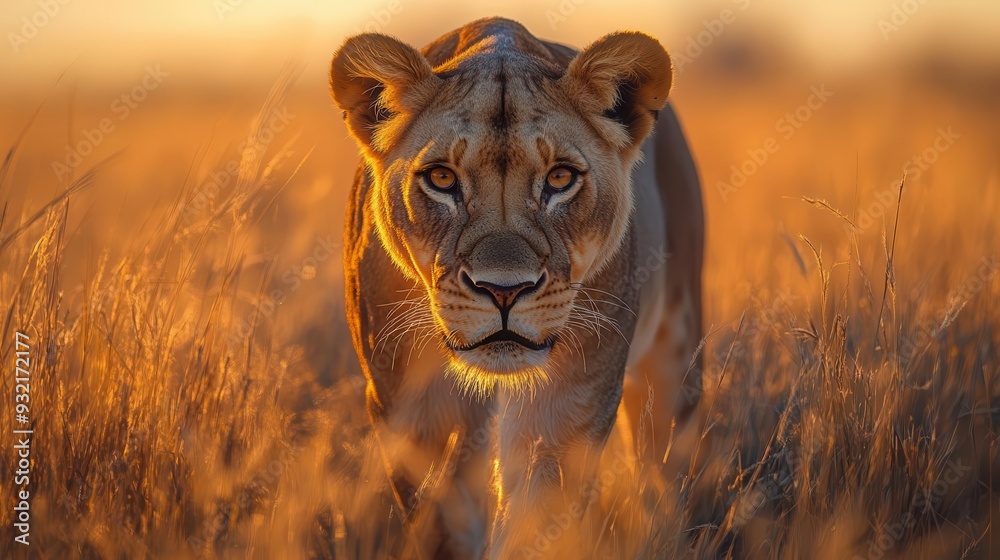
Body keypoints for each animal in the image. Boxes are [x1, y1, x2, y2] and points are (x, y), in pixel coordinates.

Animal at [329, 17, 704, 558]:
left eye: (560, 178)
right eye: (441, 178)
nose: (503, 290)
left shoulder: (570, 402)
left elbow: (536, 517)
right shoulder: (407, 405)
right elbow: (440, 519)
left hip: (677, 356)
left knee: (665, 477)